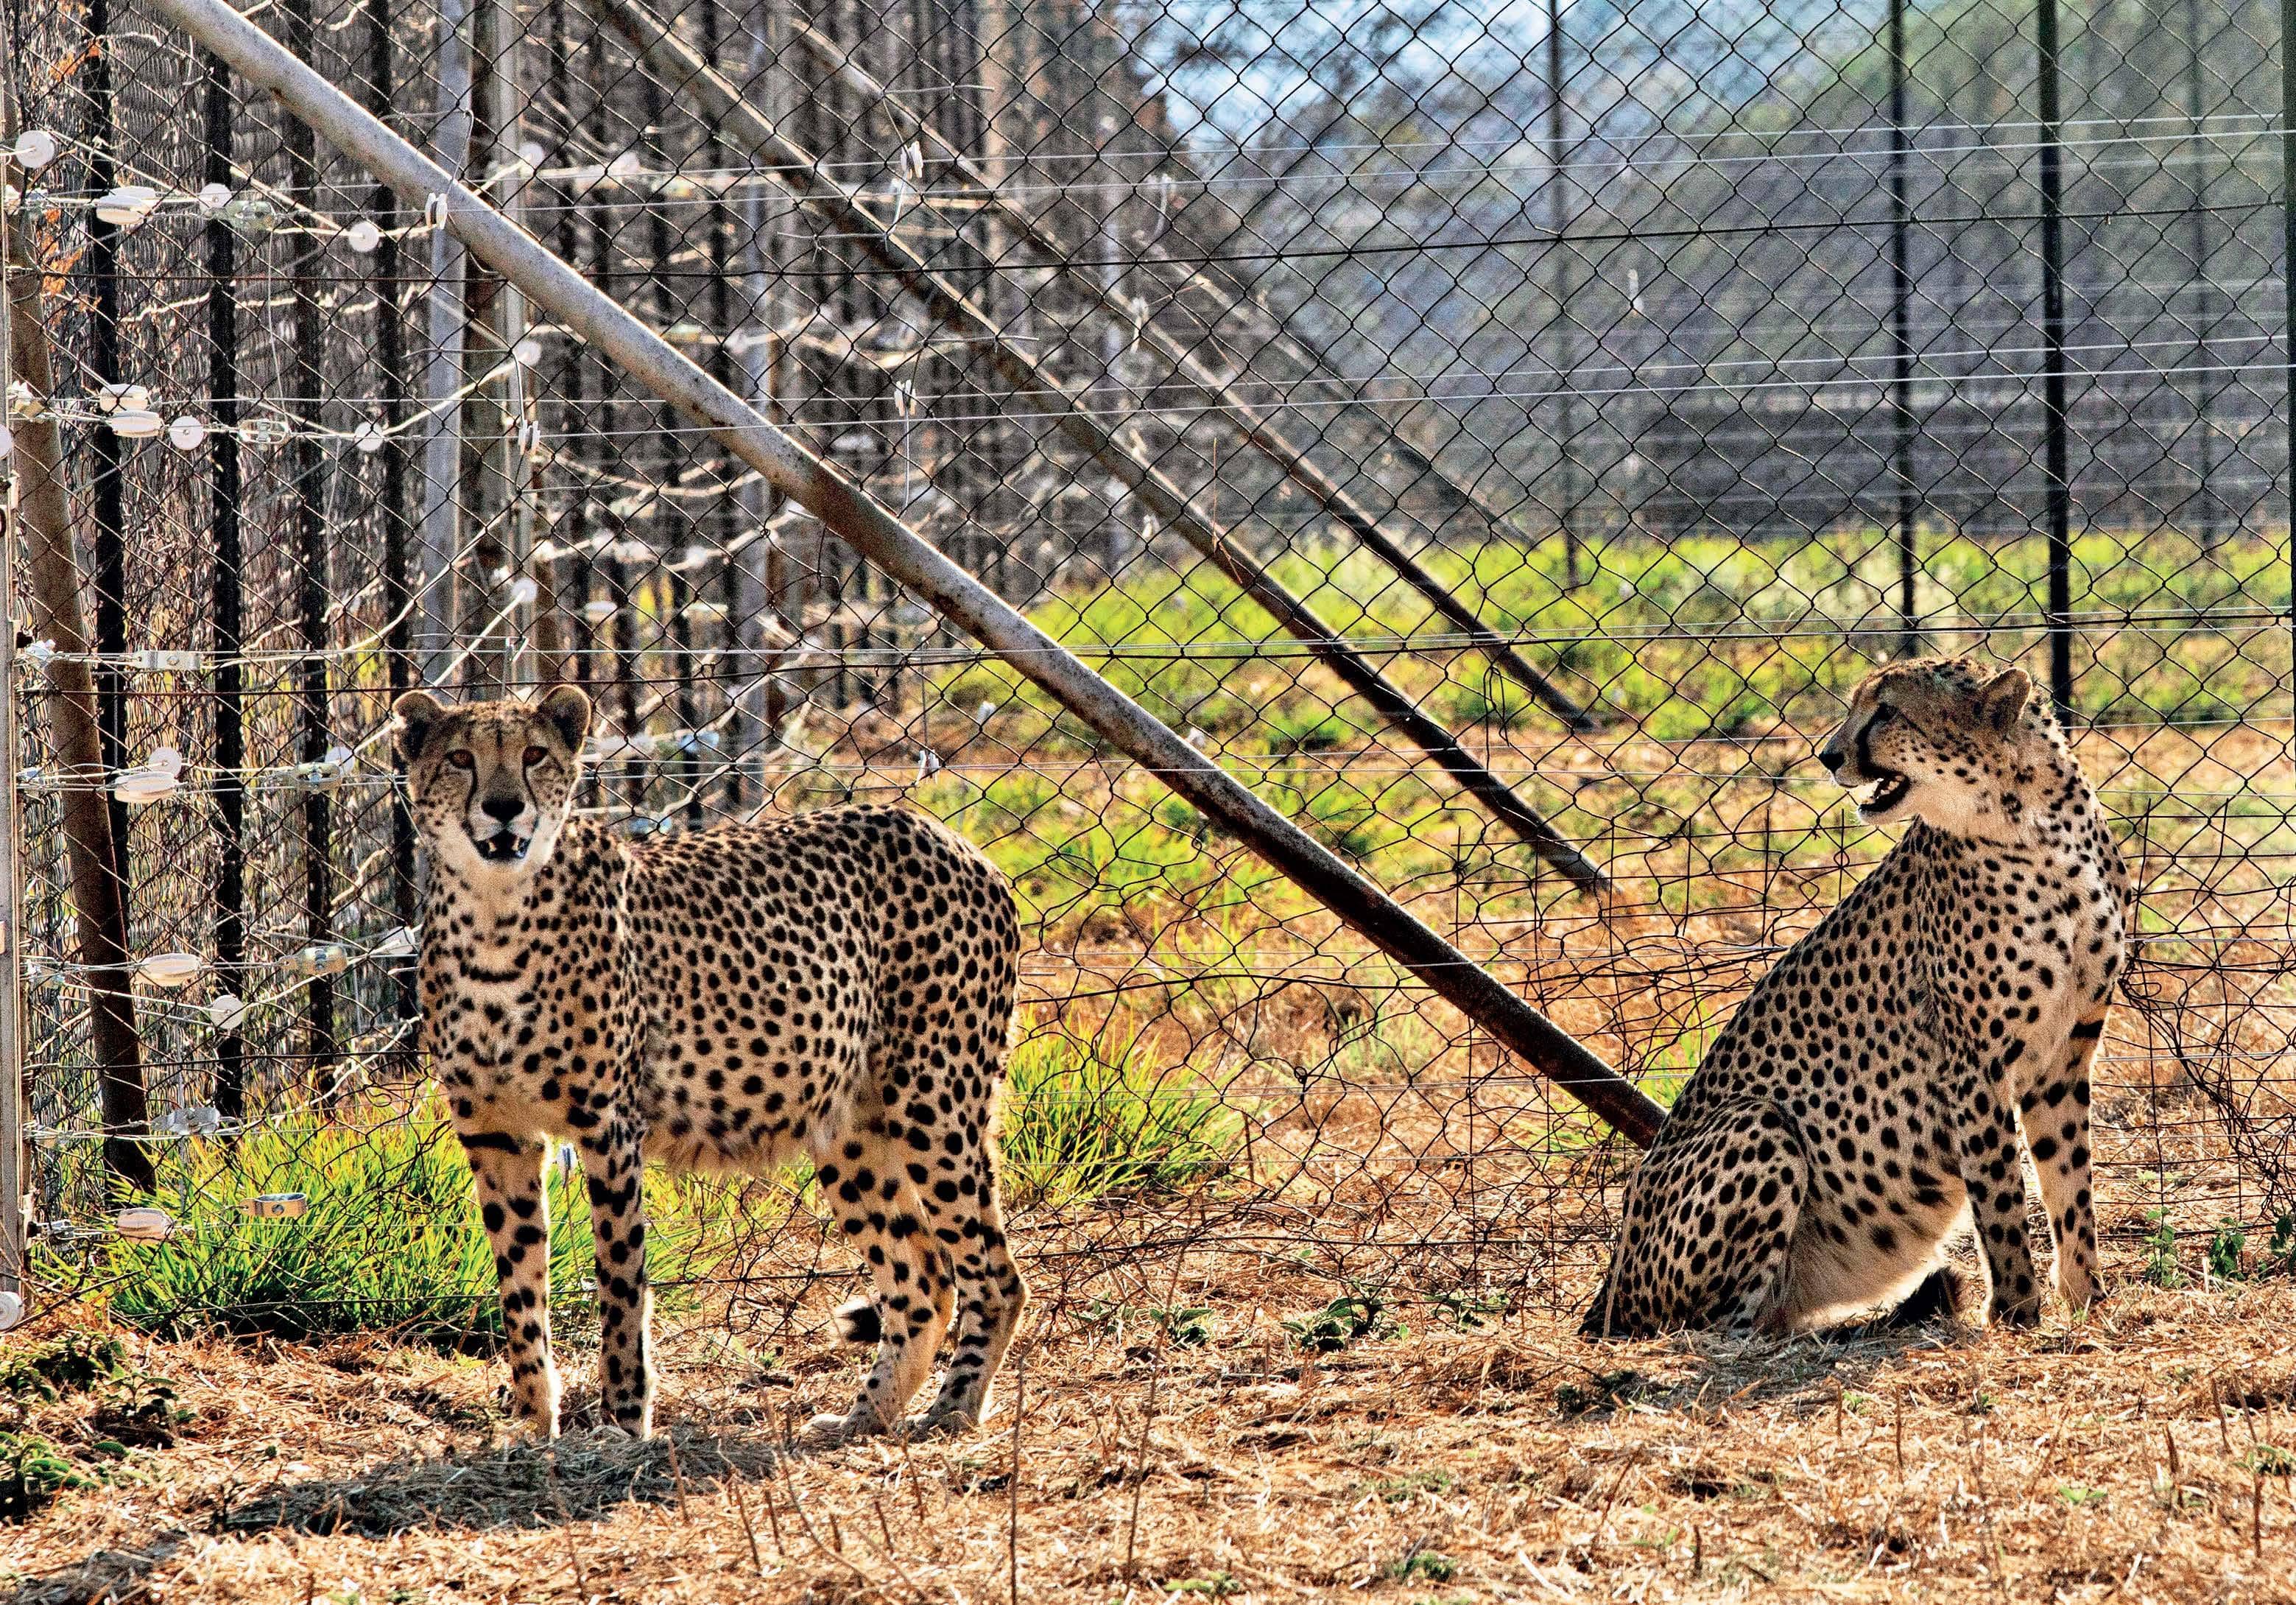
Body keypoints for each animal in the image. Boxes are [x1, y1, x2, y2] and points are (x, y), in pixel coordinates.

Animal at [392, 683, 1027, 1442]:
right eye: (461, 757)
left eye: (534, 754)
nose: (505, 805)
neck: (495, 911)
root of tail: (950, 837)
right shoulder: (495, 1132)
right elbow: (519, 1285)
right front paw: (531, 1421)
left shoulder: (608, 1126)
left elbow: (620, 1282)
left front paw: (623, 1420)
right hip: (850, 1129)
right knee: (923, 1276)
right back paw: (862, 1418)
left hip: (935, 1103)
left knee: (994, 1272)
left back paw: (953, 1408)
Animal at [1582, 656, 2128, 1338]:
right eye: (1856, 706)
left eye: (1887, 711)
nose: (1829, 755)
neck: (2037, 824)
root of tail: (1606, 1290)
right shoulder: (1972, 1064)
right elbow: (2001, 1196)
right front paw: (2015, 1313)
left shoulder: (2063, 1056)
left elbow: (2069, 1183)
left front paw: (2088, 1302)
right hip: (1760, 1122)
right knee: (1720, 1323)